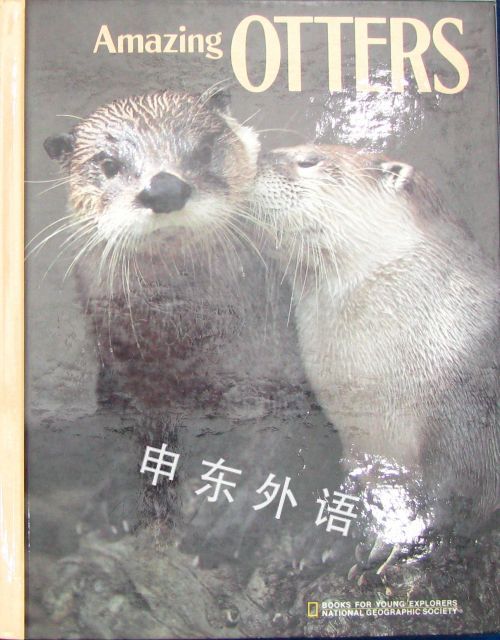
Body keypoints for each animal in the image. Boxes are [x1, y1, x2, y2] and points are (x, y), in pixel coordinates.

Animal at [250, 144, 499, 572]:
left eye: (309, 159)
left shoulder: (469, 410)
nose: (253, 161)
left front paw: (405, 541)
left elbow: (460, 494)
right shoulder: (360, 445)